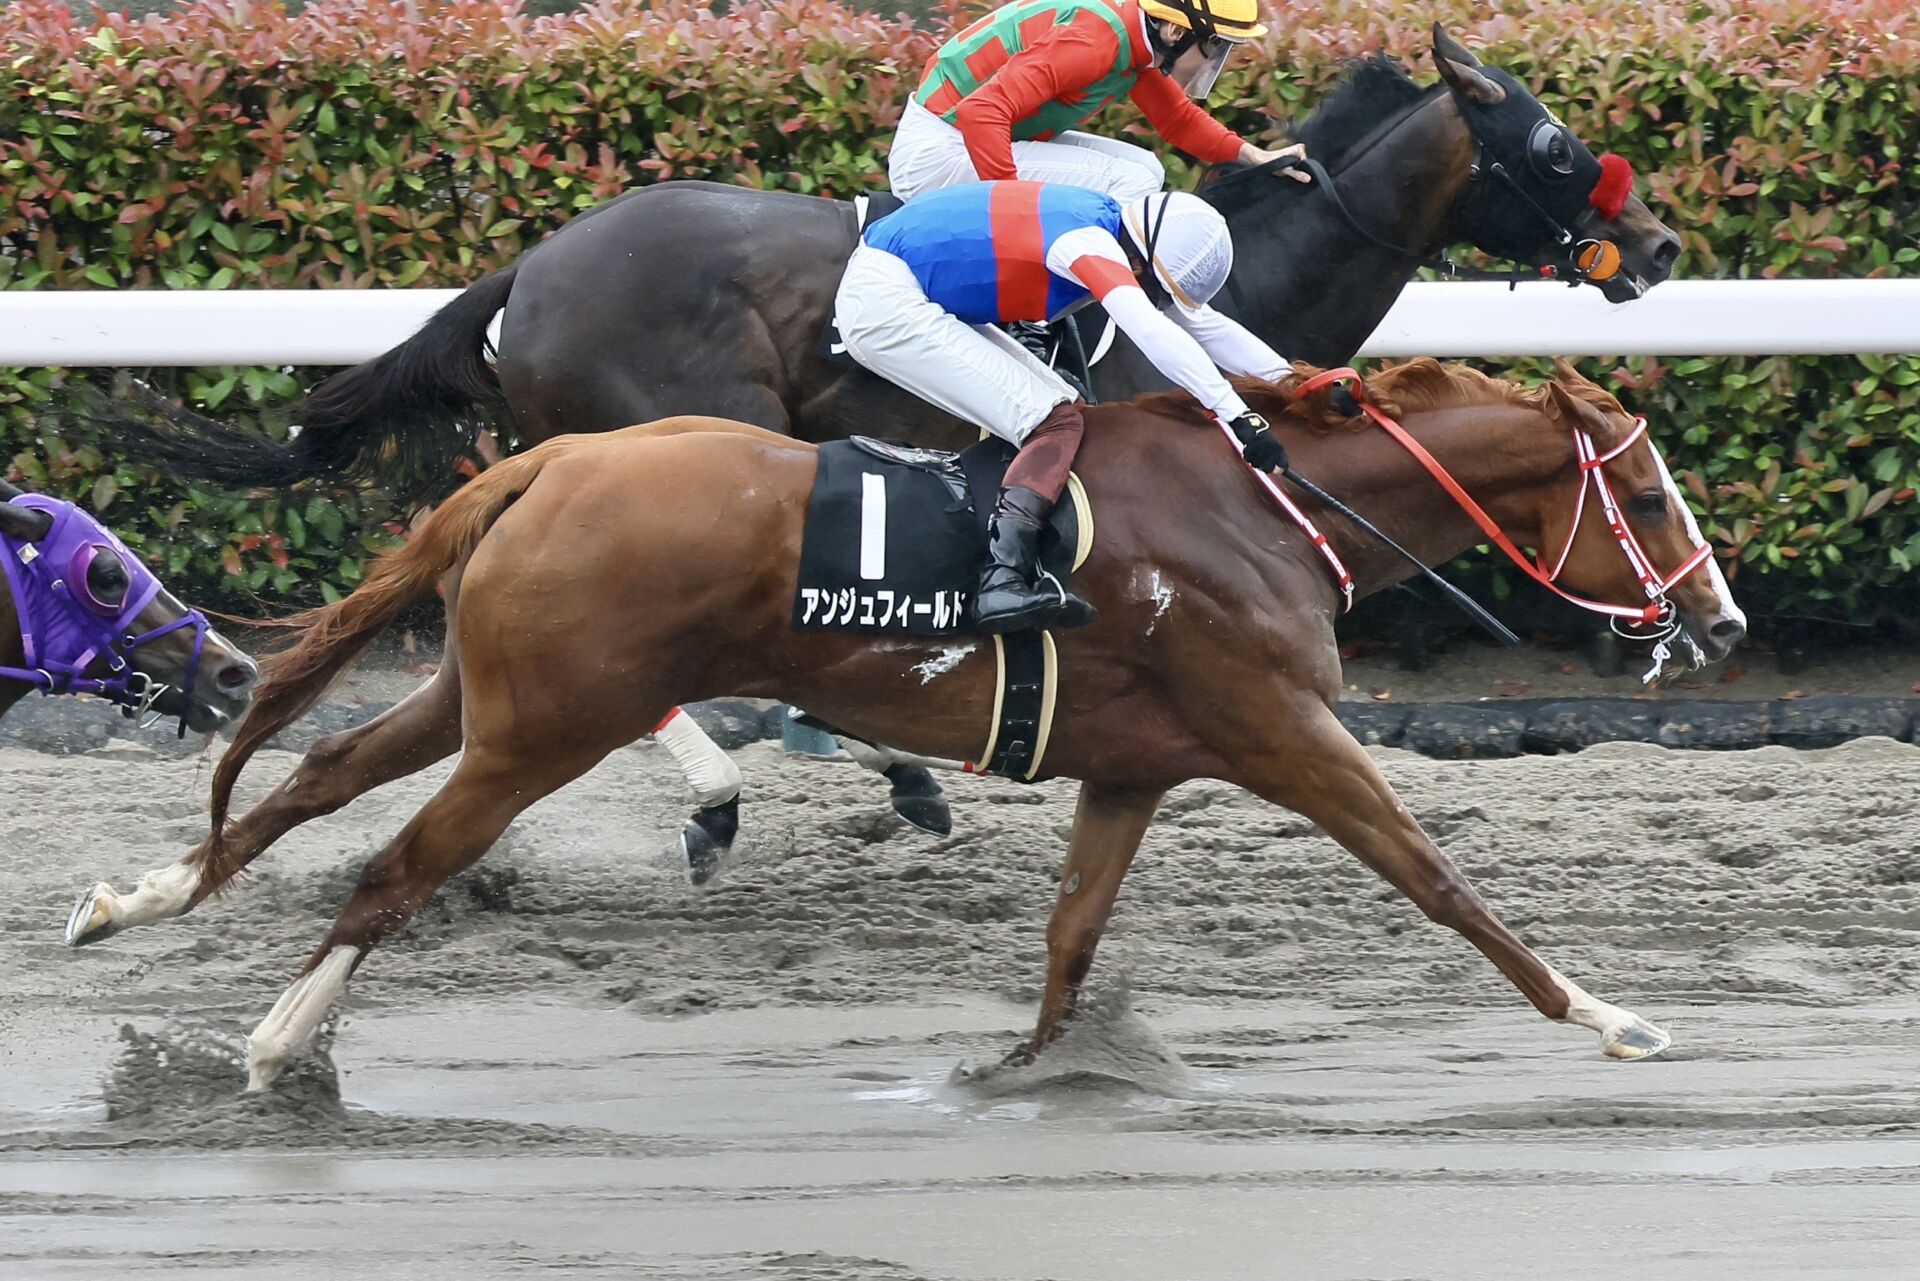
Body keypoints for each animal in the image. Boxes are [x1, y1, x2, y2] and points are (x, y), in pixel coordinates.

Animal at [115, 357, 1743, 1089]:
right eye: (1649, 496)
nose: (1723, 624)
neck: (1261, 513)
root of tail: (552, 460)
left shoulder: (1135, 772)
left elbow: (1072, 934)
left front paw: (1021, 1071)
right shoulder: (1284, 734)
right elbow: (1442, 879)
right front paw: (1609, 1016)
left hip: (481, 693)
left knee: (319, 774)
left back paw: (131, 902)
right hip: (542, 730)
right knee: (396, 868)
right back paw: (275, 1040)